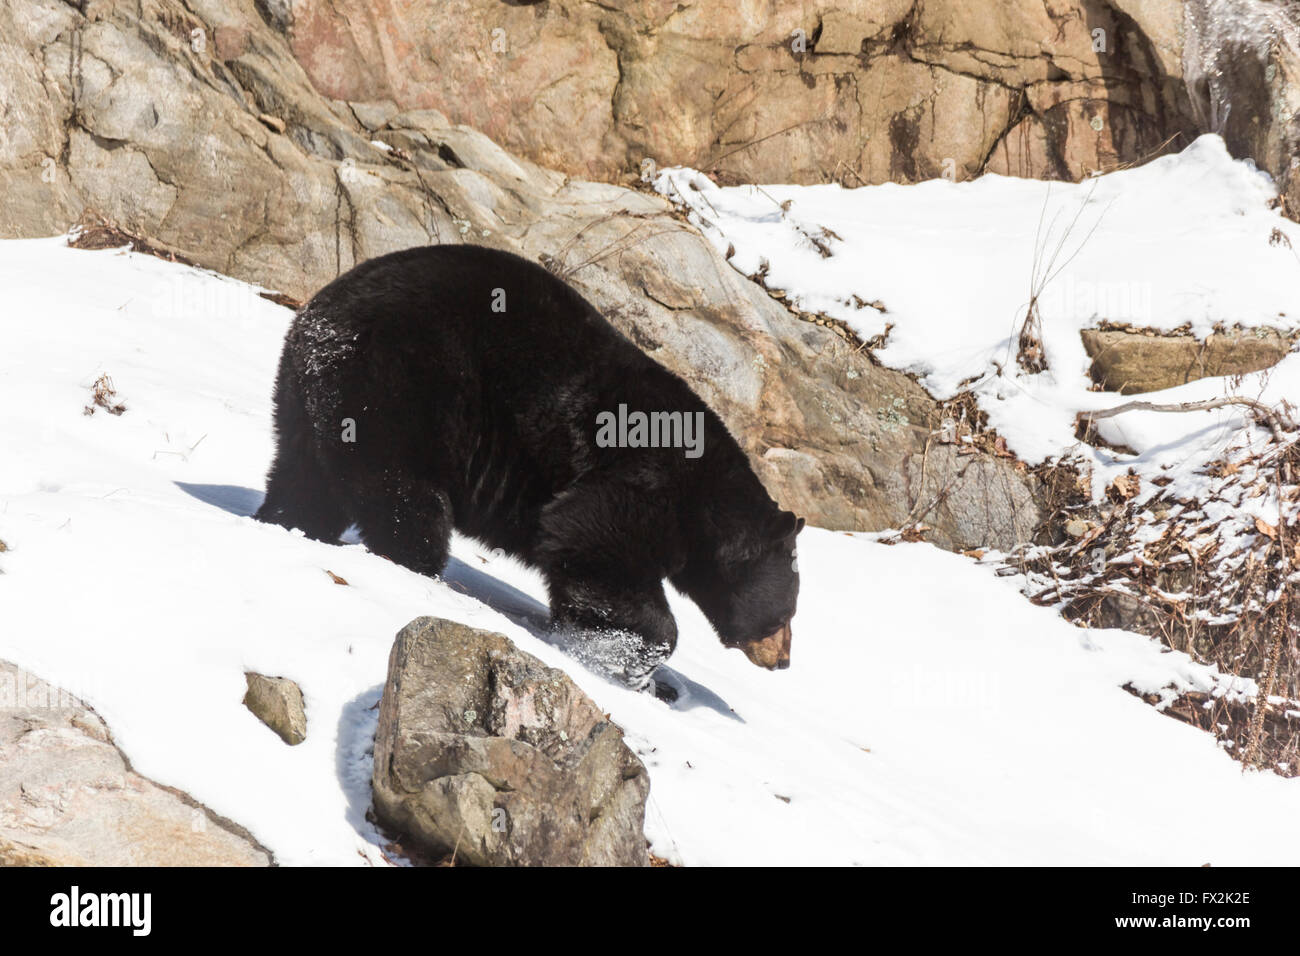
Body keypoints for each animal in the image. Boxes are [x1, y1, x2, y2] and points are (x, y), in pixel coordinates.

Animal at [255, 244, 802, 691]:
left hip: (311, 395)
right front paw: (633, 659)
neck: (705, 504)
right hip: (404, 385)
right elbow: (593, 536)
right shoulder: (645, 481)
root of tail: (323, 312)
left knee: (305, 478)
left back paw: (287, 523)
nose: (783, 660)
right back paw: (417, 564)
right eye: (787, 614)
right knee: (404, 494)